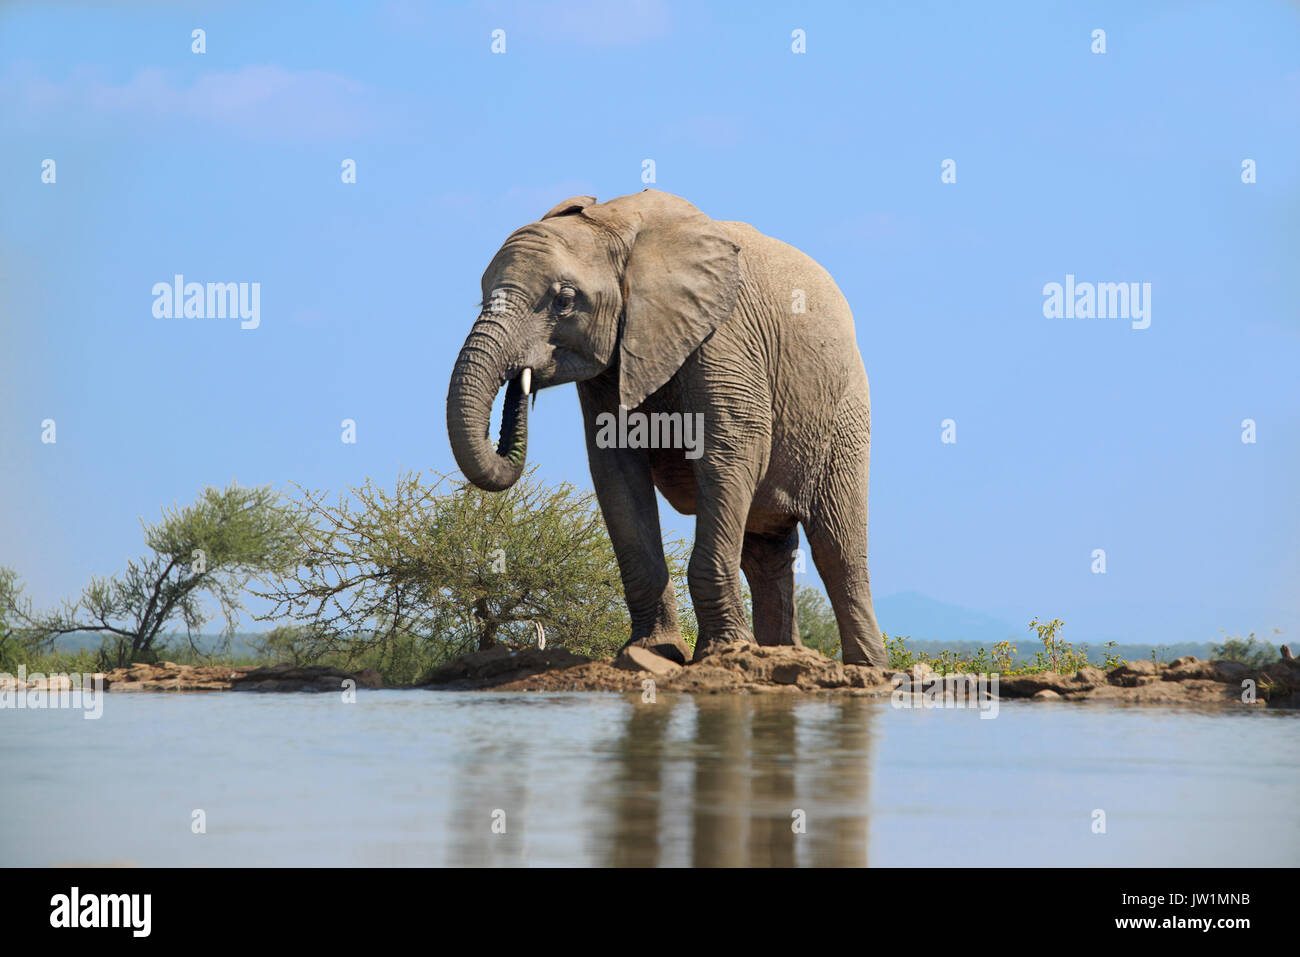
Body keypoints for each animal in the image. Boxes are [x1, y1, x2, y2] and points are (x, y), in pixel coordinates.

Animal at [446, 190, 885, 667]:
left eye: (564, 299)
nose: (521, 384)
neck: (618, 224)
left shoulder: (724, 337)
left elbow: (730, 453)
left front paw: (721, 652)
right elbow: (615, 471)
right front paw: (656, 651)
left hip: (844, 411)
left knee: (837, 546)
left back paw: (866, 667)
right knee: (764, 548)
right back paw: (781, 655)